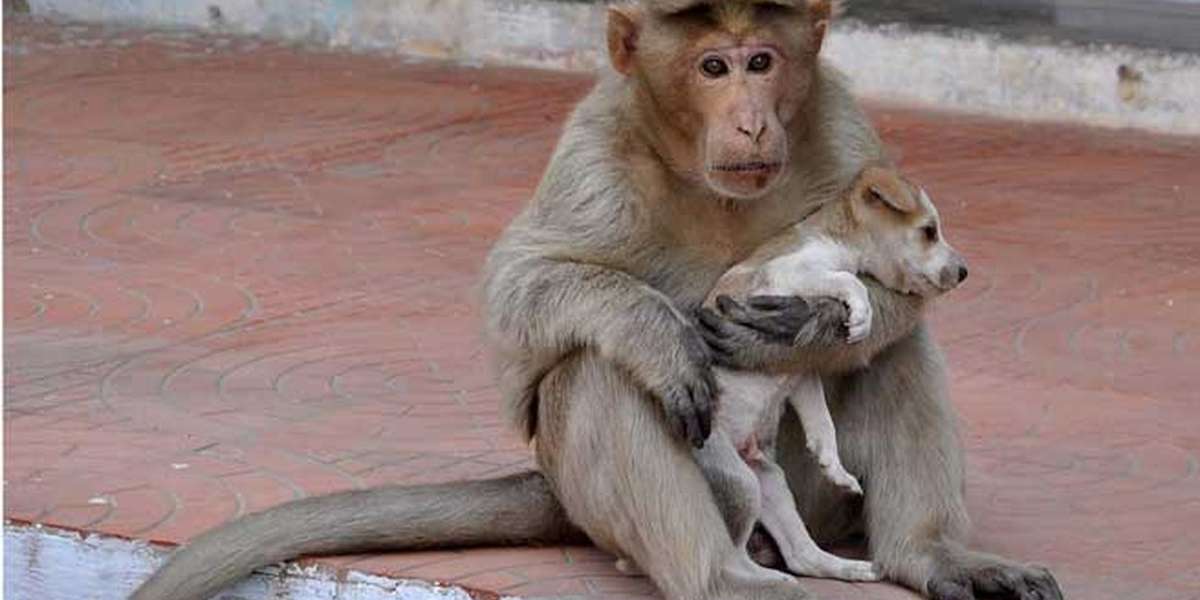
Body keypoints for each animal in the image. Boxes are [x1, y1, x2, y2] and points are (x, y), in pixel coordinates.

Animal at [684, 165, 969, 585]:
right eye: (929, 231)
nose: (964, 272)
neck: (837, 239)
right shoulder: (787, 272)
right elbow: (848, 281)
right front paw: (861, 315)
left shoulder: (799, 373)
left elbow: (822, 421)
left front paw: (833, 466)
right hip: (739, 481)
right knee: (731, 554)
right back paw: (766, 579)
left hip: (770, 481)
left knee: (802, 556)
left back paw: (853, 569)